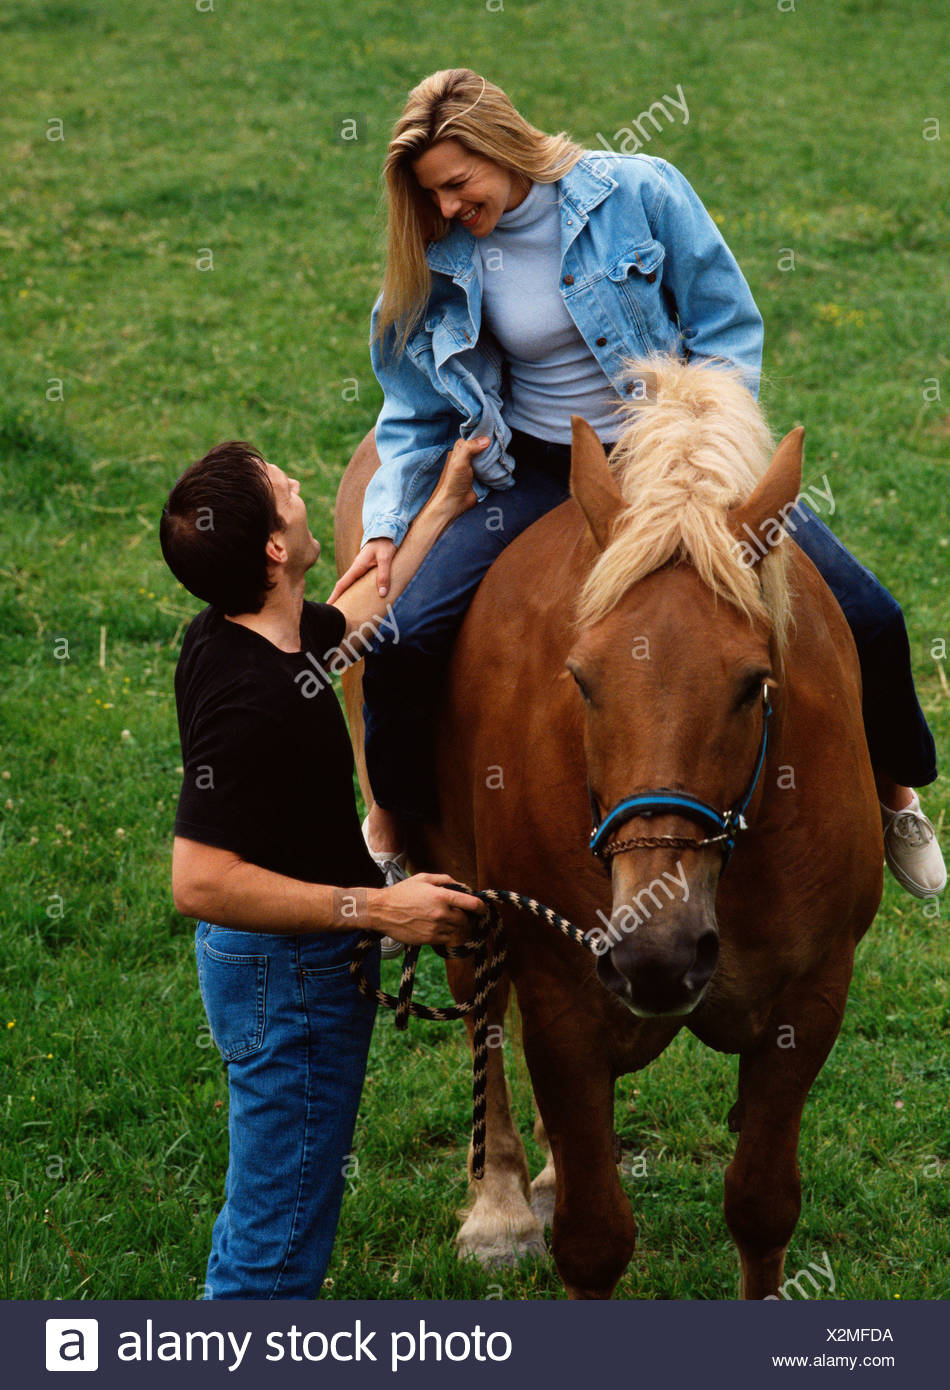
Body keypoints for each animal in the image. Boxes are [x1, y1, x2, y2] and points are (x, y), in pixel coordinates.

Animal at [334, 354, 883, 1298]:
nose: (657, 951)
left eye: (753, 684)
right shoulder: (563, 999)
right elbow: (593, 1239)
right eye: (582, 679)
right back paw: (501, 1204)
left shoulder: (811, 1001)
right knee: (480, 1013)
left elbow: (762, 1205)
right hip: (457, 893)